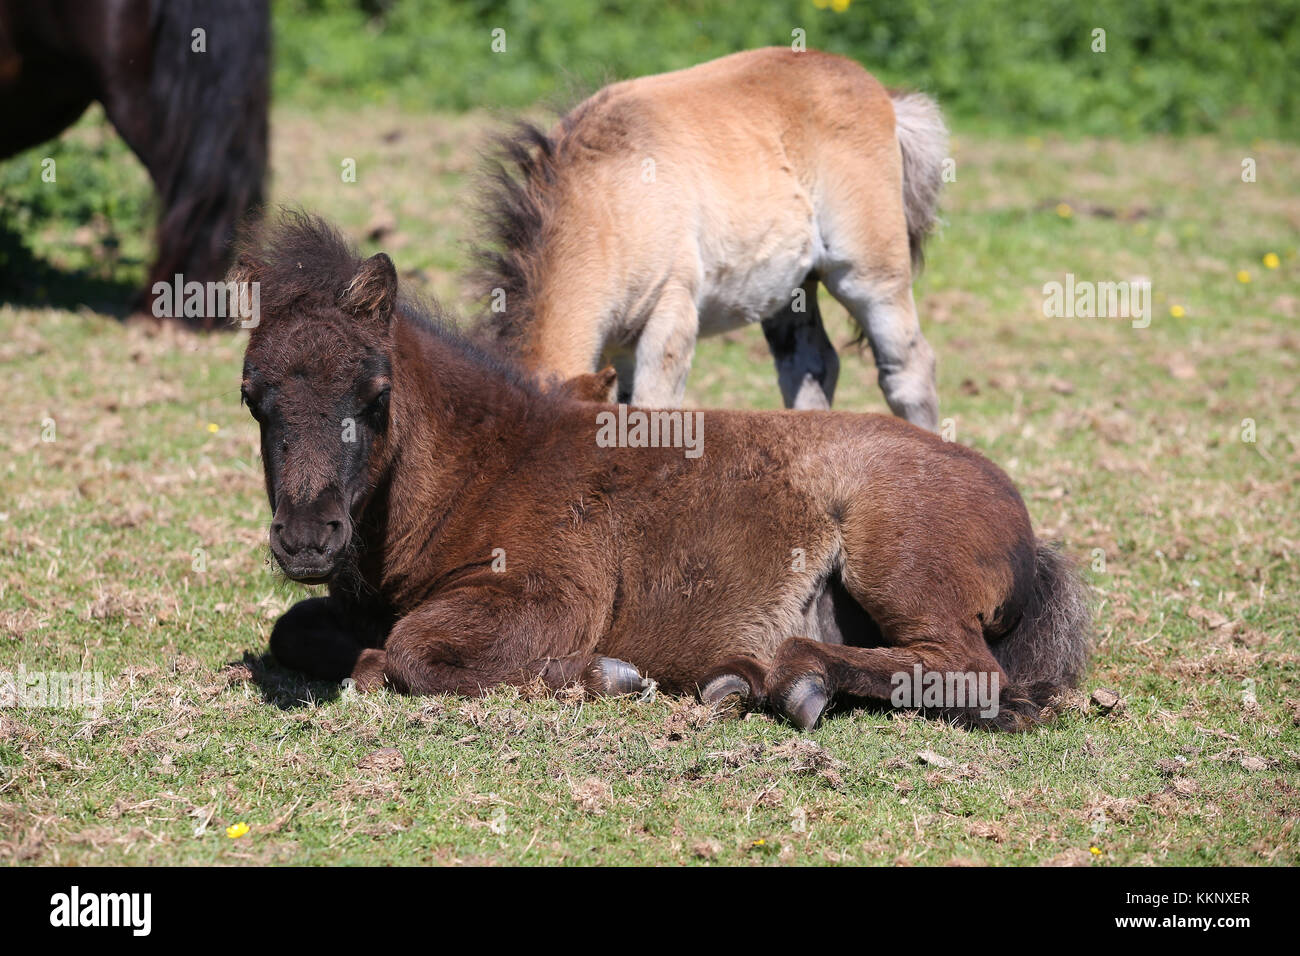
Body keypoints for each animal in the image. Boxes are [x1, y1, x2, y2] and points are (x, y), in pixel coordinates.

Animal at [237, 212, 1090, 731]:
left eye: (375, 395)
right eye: (253, 397)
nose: (307, 538)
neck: (484, 467)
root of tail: (1024, 527)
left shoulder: (549, 595)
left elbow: (411, 652)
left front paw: (602, 676)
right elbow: (294, 631)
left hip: (900, 565)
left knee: (969, 669)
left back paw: (794, 675)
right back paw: (749, 682)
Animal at [472, 47, 948, 428]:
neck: (607, 201)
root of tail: (881, 92)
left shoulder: (670, 313)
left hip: (869, 271)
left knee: (908, 367)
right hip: (790, 287)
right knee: (812, 365)